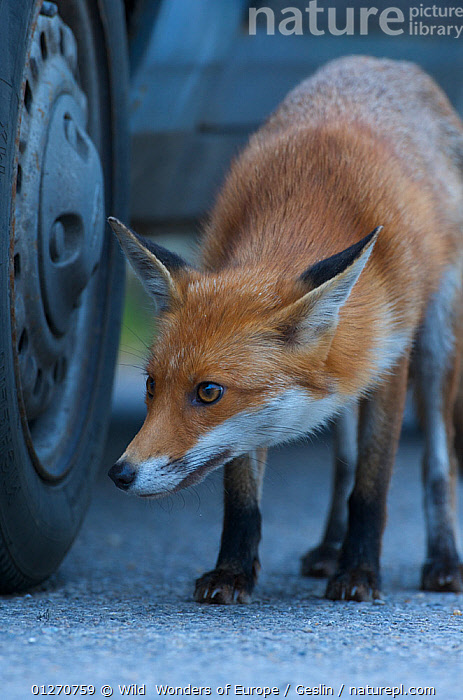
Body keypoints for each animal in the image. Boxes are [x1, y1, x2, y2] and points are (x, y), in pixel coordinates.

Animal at [108, 56, 463, 604]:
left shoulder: (390, 360)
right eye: (150, 385)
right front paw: (232, 572)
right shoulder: (261, 422)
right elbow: (243, 495)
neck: (304, 205)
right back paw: (328, 548)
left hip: (437, 342)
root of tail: (383, 61)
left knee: (437, 463)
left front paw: (360, 573)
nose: (120, 474)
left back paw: (442, 560)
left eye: (208, 392)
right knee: (342, 460)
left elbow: (372, 486)